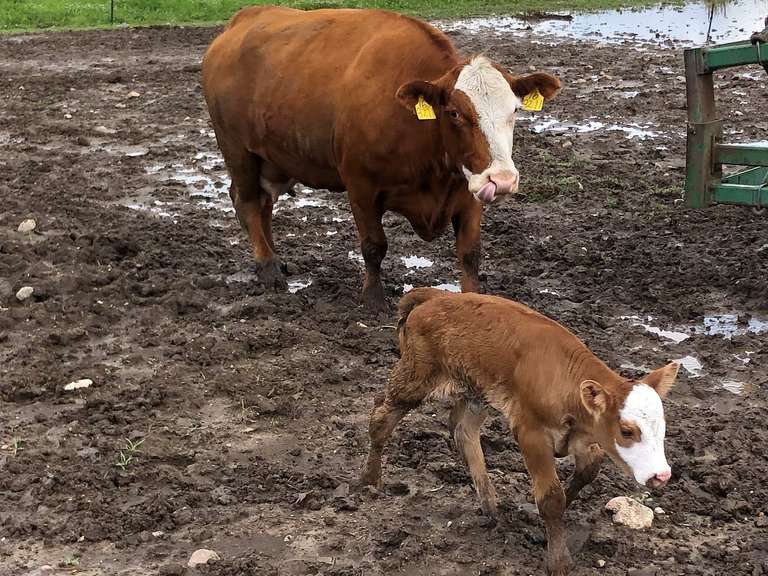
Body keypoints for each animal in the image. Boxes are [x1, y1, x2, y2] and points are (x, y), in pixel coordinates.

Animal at [202, 6, 560, 310]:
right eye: (455, 113)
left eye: (515, 110)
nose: (502, 179)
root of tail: (242, 20)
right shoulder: (361, 186)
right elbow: (374, 246)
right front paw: (373, 300)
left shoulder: (469, 190)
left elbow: (470, 254)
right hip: (236, 148)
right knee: (248, 202)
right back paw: (268, 267)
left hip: (271, 157)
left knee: (264, 202)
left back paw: (276, 258)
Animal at [361, 288, 679, 575]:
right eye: (626, 431)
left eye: (662, 427)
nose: (662, 475)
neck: (563, 382)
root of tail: (433, 296)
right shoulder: (530, 433)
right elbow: (551, 498)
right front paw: (559, 562)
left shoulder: (583, 437)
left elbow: (589, 470)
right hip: (415, 377)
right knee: (380, 417)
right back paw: (370, 479)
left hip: (478, 391)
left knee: (463, 430)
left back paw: (489, 504)